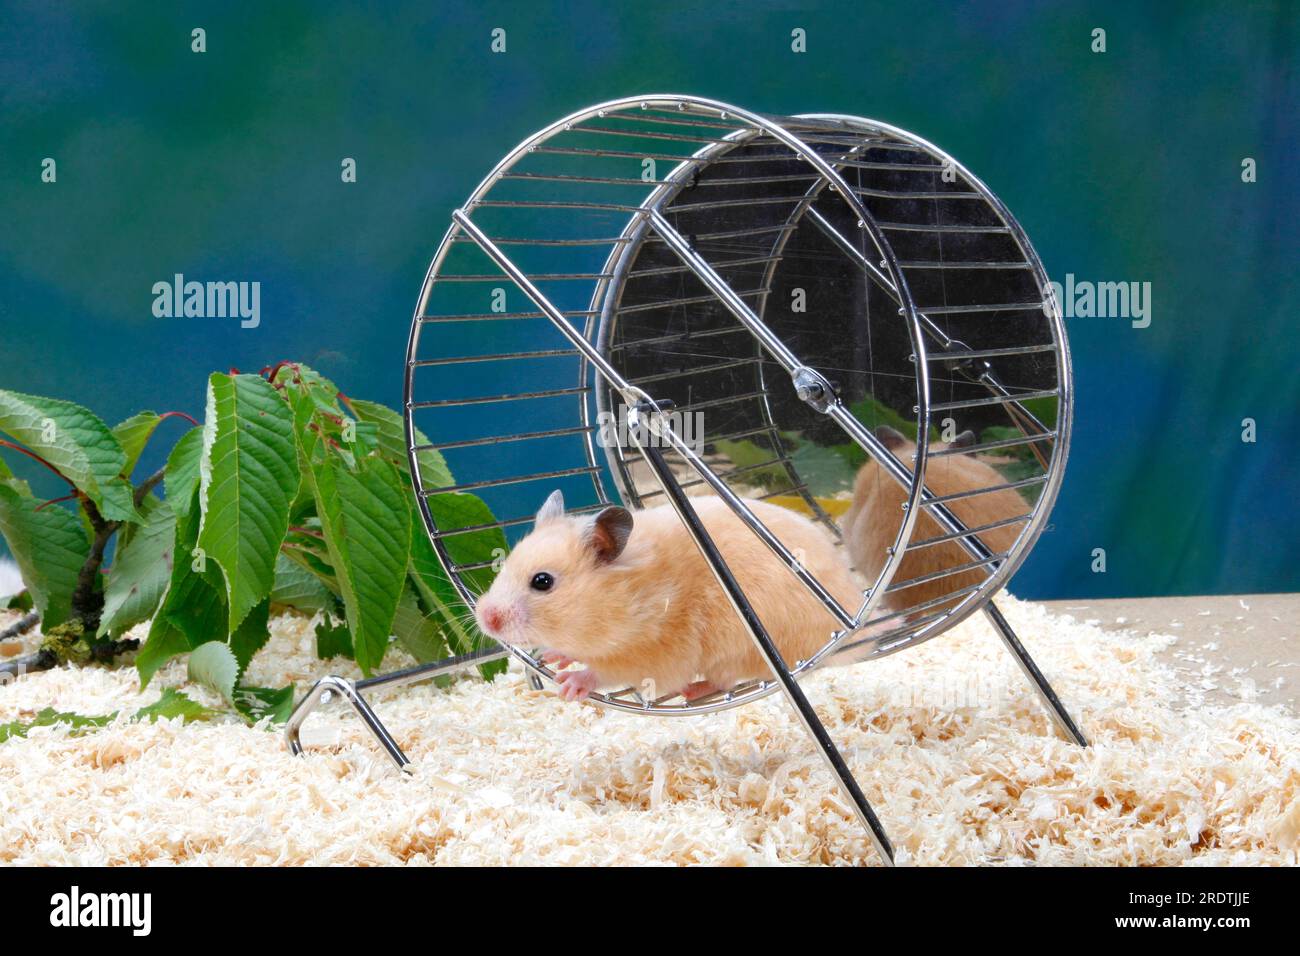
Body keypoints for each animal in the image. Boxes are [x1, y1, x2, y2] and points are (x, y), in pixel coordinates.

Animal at [474, 489, 863, 702]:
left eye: (542, 582)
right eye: (504, 564)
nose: (485, 618)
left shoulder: (655, 653)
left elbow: (607, 672)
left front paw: (569, 685)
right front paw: (554, 657)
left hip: (742, 648)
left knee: (724, 679)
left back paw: (693, 691)